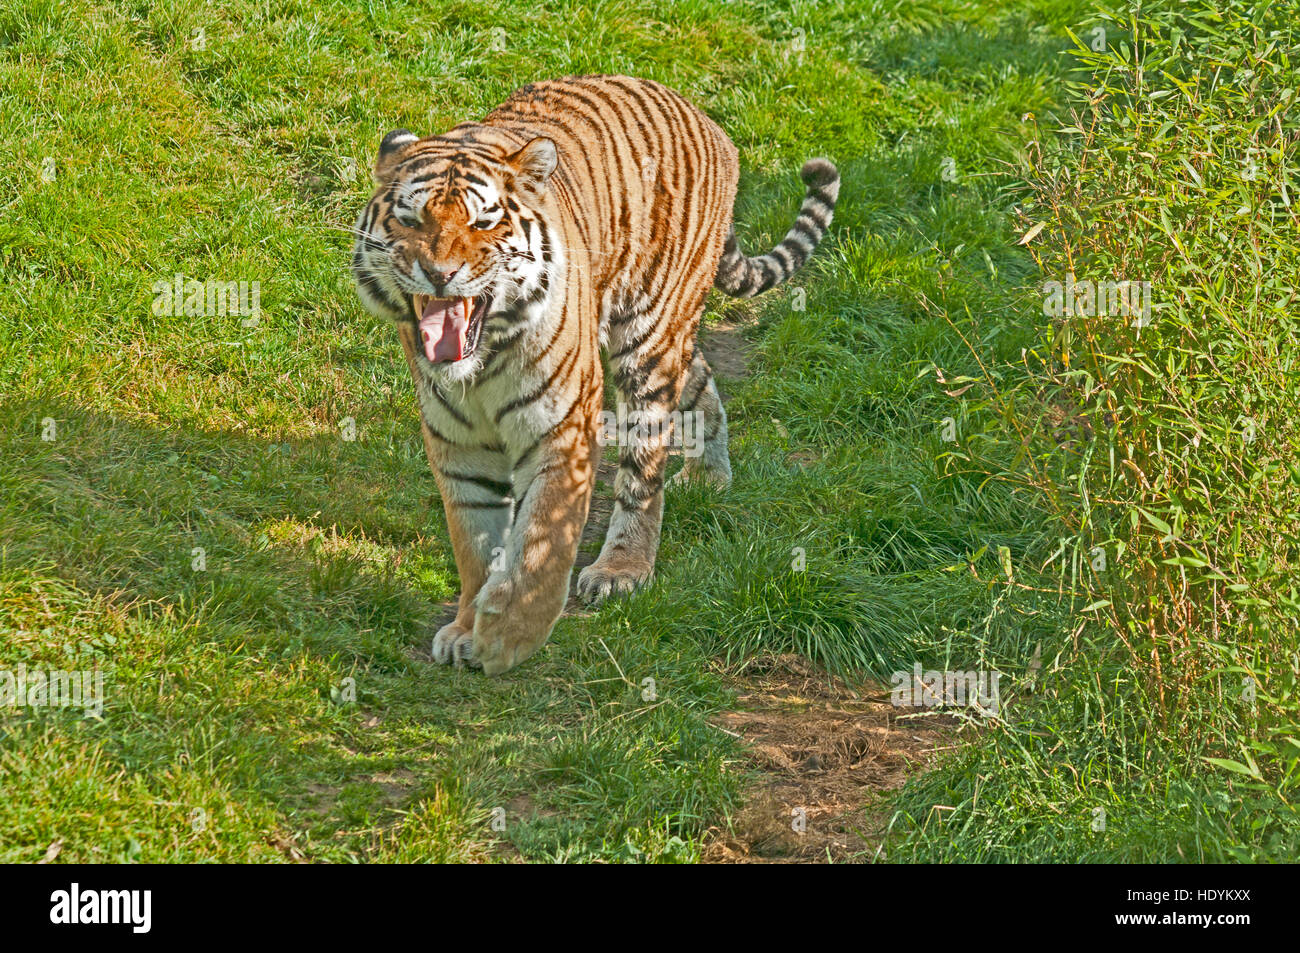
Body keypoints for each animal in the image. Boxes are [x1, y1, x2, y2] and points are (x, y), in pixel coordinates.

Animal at [351, 75, 838, 675]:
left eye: (484, 222)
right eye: (410, 219)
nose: (439, 274)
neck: (482, 359)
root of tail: (705, 118)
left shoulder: (563, 431)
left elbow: (541, 541)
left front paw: (508, 636)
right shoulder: (458, 446)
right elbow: (473, 542)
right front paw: (467, 627)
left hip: (649, 340)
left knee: (643, 474)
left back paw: (622, 570)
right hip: (667, 339)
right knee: (700, 376)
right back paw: (709, 475)